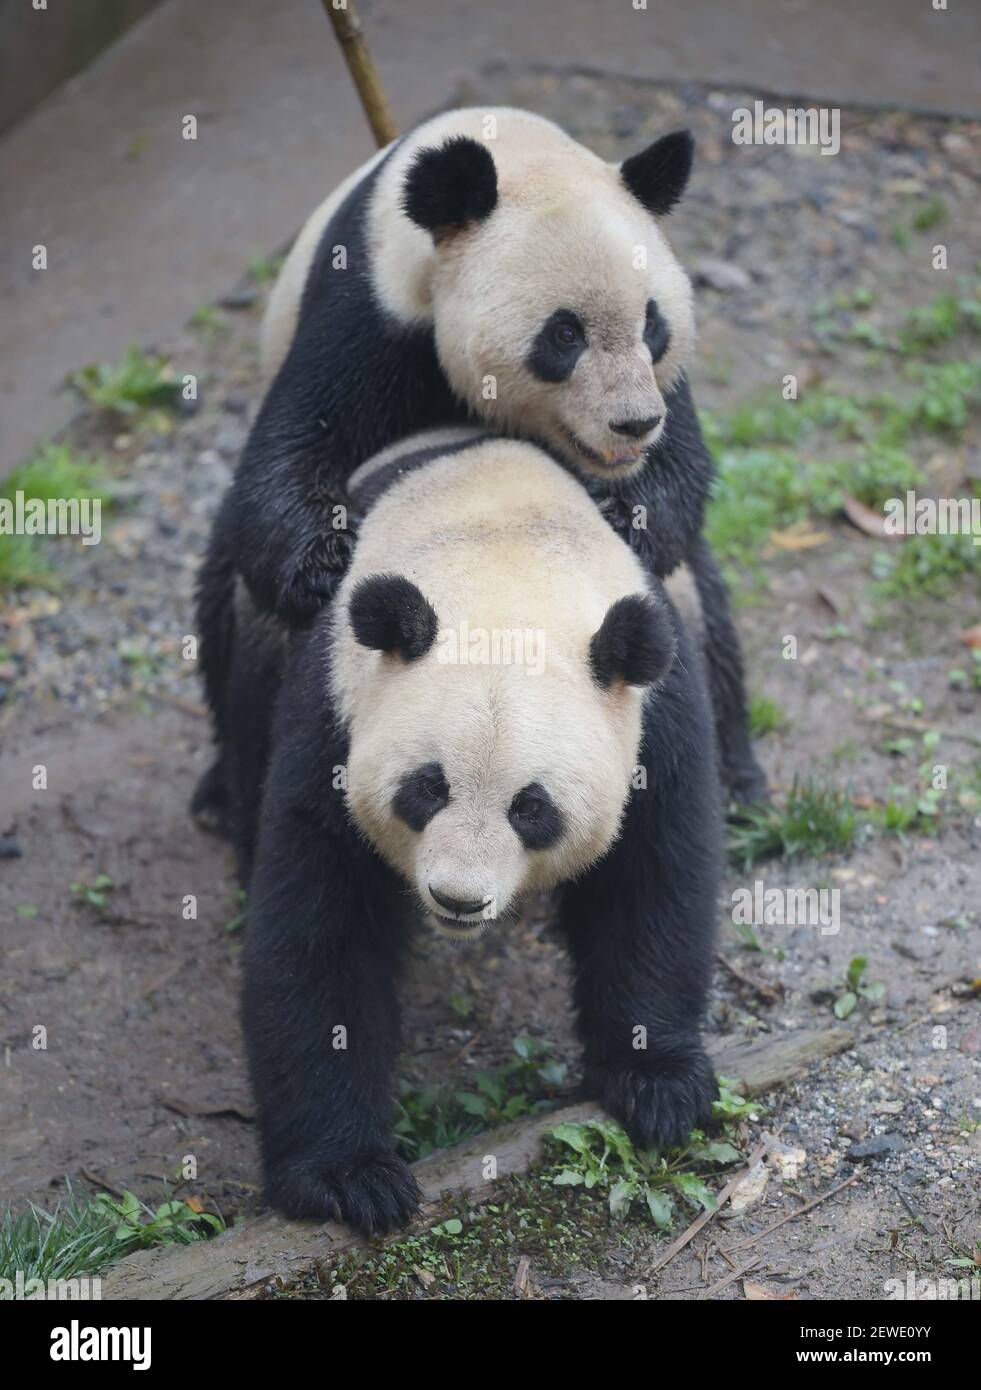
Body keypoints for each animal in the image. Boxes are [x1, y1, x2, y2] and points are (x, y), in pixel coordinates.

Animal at [195, 107, 765, 840]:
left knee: (702, 608)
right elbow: (289, 449)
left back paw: (739, 782)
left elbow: (681, 475)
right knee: (226, 594)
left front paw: (625, 515)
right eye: (564, 335)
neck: (509, 148)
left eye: (652, 325)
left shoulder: (664, 387)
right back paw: (219, 794)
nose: (632, 424)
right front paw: (325, 564)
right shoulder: (366, 307)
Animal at [228, 426, 722, 1234]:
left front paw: (659, 1085)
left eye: (531, 808)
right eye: (428, 789)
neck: (504, 559)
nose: (457, 900)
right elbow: (322, 921)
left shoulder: (655, 715)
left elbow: (651, 883)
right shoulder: (333, 704)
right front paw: (348, 1175)